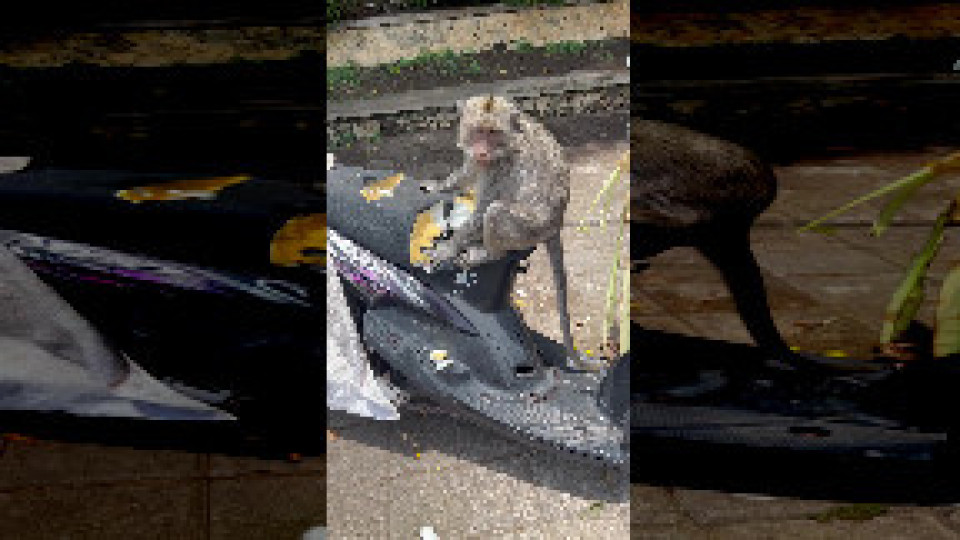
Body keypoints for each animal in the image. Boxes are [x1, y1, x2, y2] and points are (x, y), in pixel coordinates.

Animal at [420, 95, 580, 365]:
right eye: (478, 131)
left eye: (493, 133)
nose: (482, 150)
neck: (504, 147)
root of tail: (557, 221)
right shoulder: (479, 159)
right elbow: (468, 173)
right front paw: (439, 186)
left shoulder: (501, 167)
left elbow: (482, 211)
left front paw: (449, 247)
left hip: (529, 229)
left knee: (495, 212)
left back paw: (487, 254)